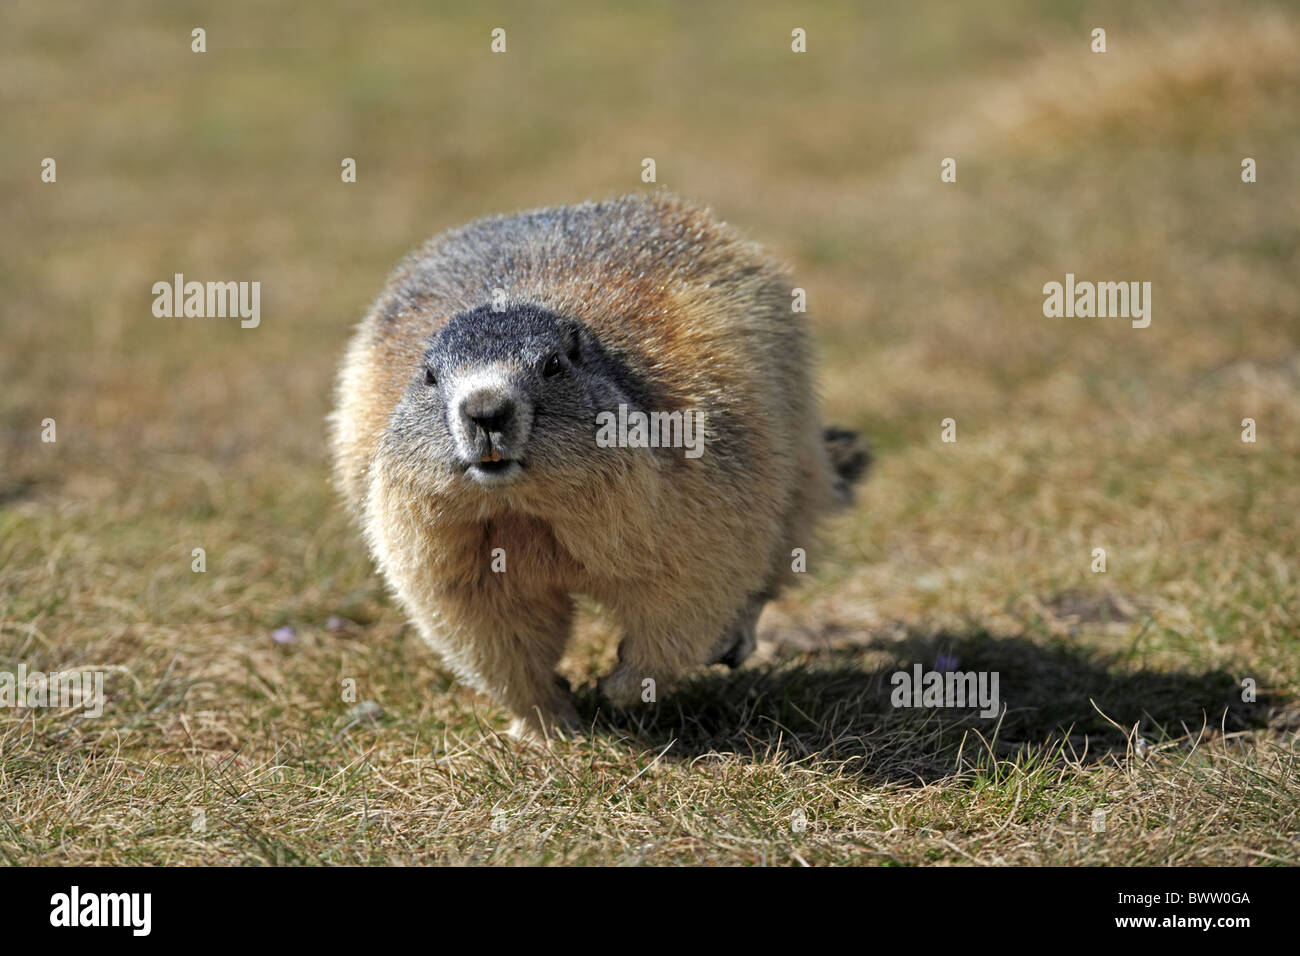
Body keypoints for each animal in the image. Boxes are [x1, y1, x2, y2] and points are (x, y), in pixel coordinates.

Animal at [330, 193, 869, 740]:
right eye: (428, 375)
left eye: (553, 365)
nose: (485, 410)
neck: (523, 513)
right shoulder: (443, 544)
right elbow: (486, 622)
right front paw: (545, 721)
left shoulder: (691, 489)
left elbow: (689, 586)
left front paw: (623, 685)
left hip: (797, 453)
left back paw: (733, 638)